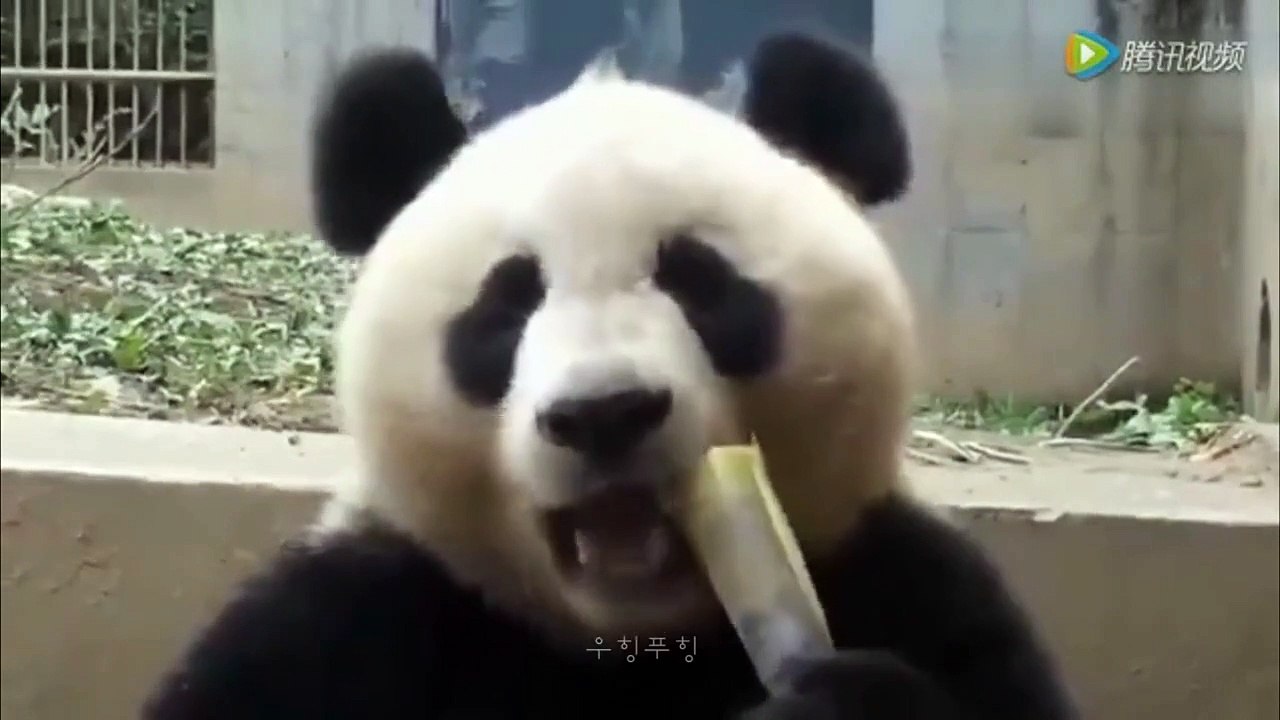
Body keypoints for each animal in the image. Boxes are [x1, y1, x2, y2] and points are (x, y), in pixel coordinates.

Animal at [143, 33, 1079, 720]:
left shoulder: (903, 578)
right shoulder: (351, 617)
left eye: (700, 283)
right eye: (508, 305)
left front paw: (834, 705)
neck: (627, 647)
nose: (605, 412)